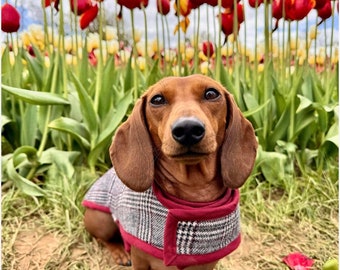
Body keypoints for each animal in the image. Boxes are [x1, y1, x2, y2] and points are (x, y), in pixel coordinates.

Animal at [83, 74, 258, 270]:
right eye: (157, 99)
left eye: (212, 93)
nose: (188, 129)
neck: (194, 193)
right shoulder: (140, 259)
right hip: (102, 220)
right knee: (103, 238)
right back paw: (119, 252)